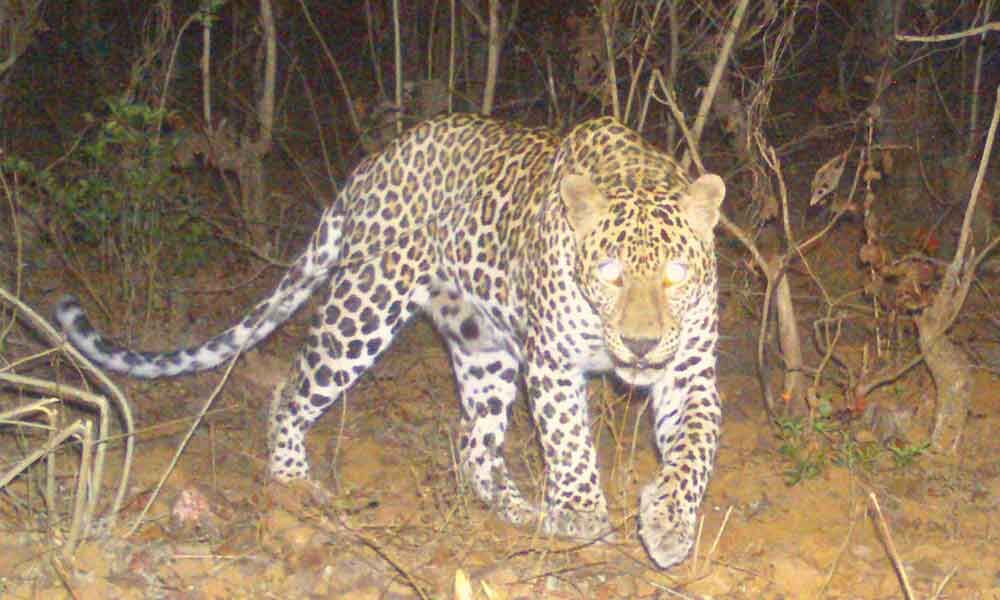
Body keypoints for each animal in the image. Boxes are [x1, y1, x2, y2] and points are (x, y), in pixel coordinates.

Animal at [56, 113, 726, 568]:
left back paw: (517, 509)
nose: (639, 345)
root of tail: (375, 162)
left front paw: (668, 523)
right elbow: (569, 441)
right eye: (610, 273)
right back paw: (293, 482)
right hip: (364, 306)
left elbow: (694, 447)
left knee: (473, 443)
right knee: (292, 389)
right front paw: (585, 512)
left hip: (483, 348)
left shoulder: (689, 371)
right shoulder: (554, 362)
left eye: (676, 274)